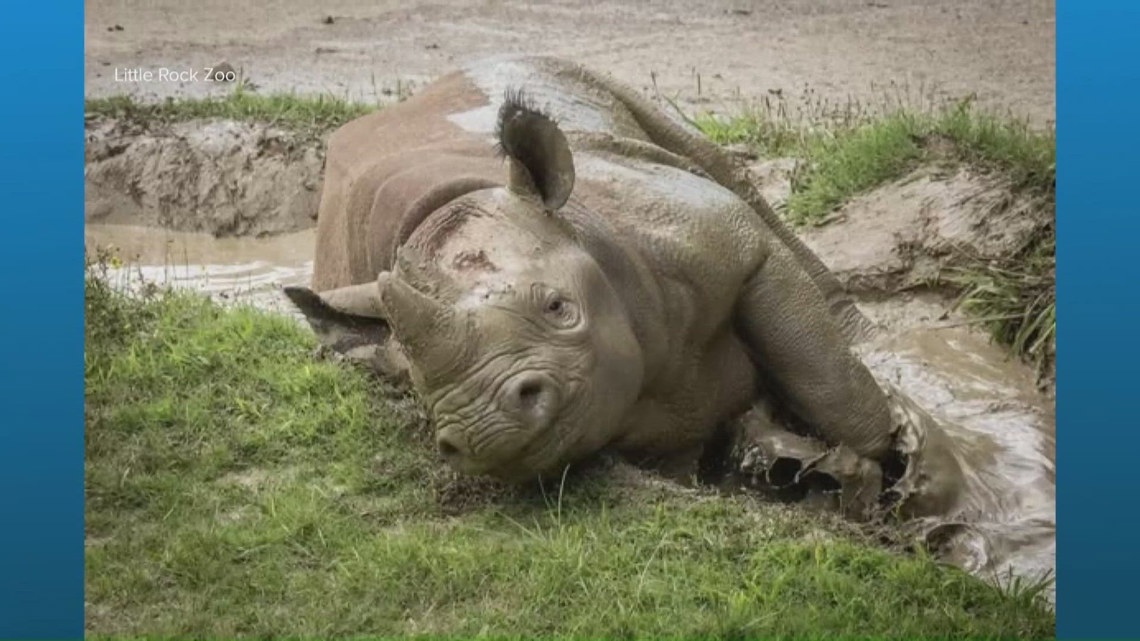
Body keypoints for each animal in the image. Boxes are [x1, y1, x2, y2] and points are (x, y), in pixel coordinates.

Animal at [284, 56, 901, 487]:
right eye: (412, 376)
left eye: (559, 308)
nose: (485, 429)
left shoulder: (737, 249)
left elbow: (832, 387)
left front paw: (884, 463)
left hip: (585, 78)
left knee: (725, 174)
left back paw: (871, 341)